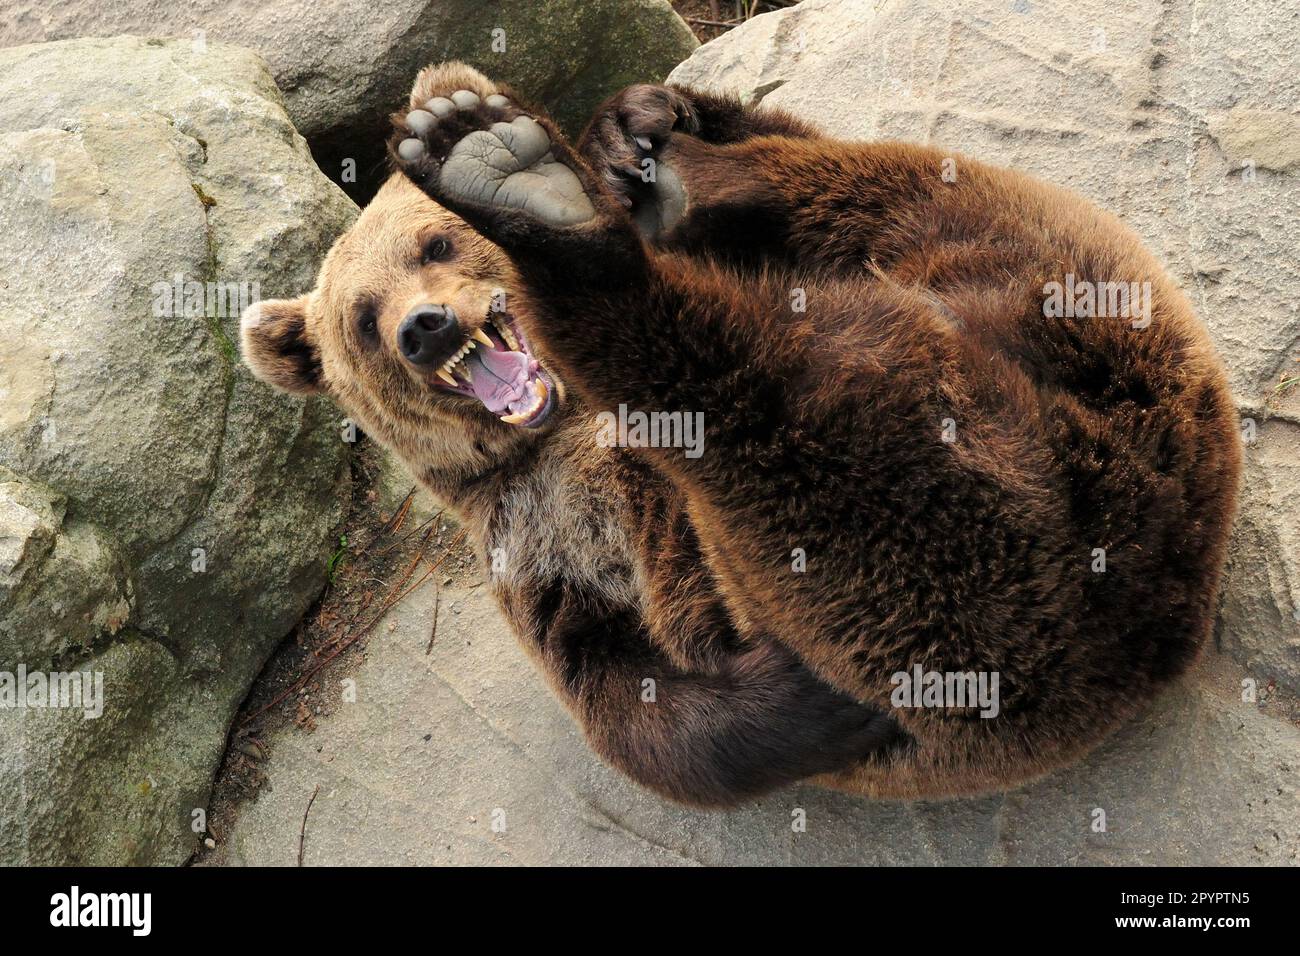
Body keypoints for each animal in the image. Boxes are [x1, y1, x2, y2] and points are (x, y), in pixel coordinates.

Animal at [240, 62, 1242, 807]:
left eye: (434, 247)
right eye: (361, 320)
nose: (424, 328)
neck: (565, 416)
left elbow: (780, 124)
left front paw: (623, 125)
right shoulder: (542, 537)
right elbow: (624, 696)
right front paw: (806, 703)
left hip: (1054, 279)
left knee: (852, 186)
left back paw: (558, 174)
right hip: (983, 559)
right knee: (799, 427)